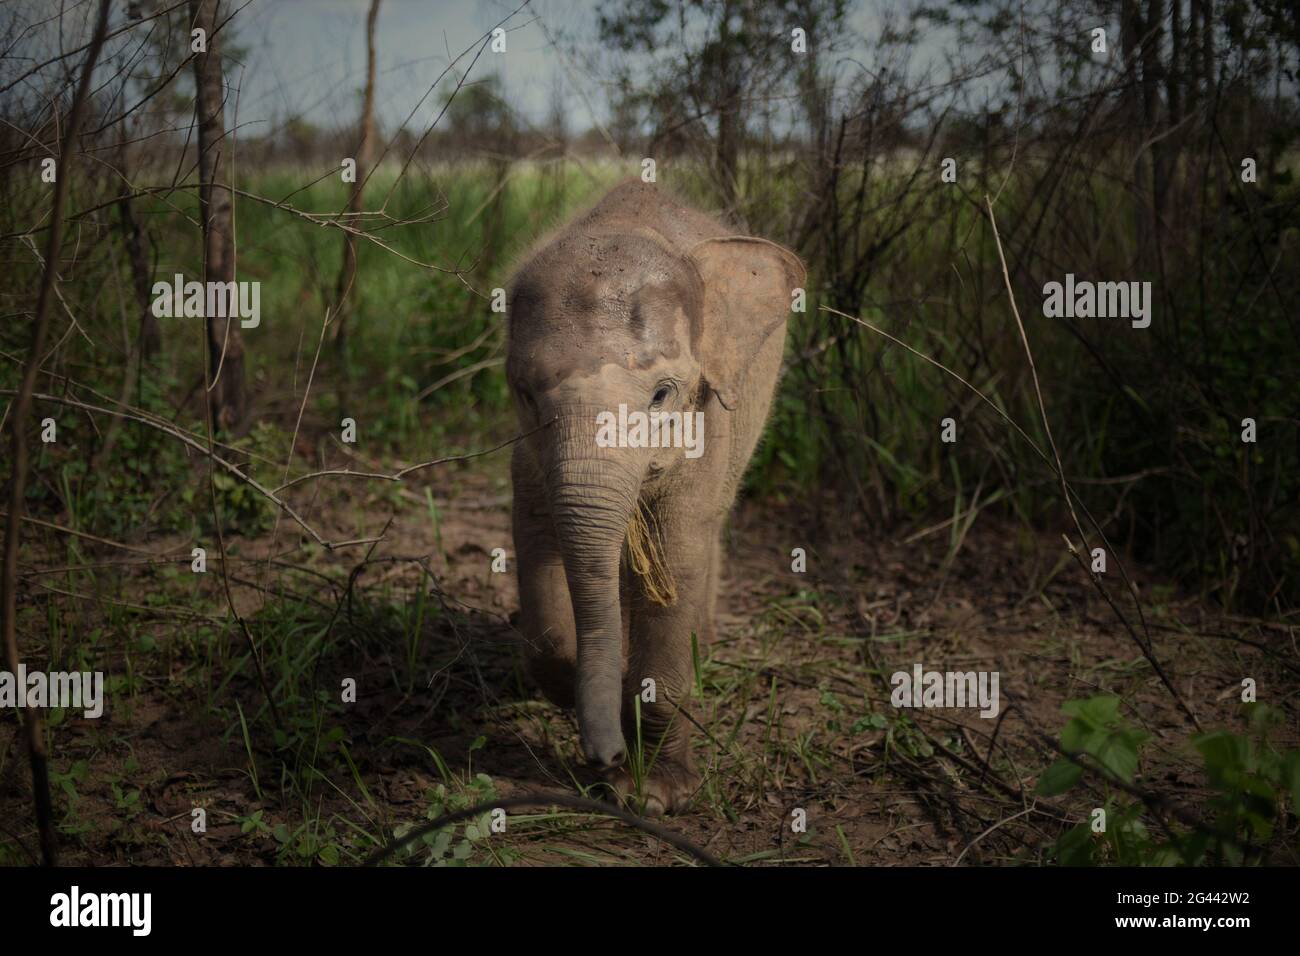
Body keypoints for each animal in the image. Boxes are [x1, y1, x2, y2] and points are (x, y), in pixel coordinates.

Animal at [506, 179, 804, 815]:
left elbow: (676, 551)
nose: (605, 759)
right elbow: (535, 531)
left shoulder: (708, 416)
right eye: (525, 394)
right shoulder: (527, 452)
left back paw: (705, 644)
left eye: (662, 395)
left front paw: (654, 798)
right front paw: (585, 688)